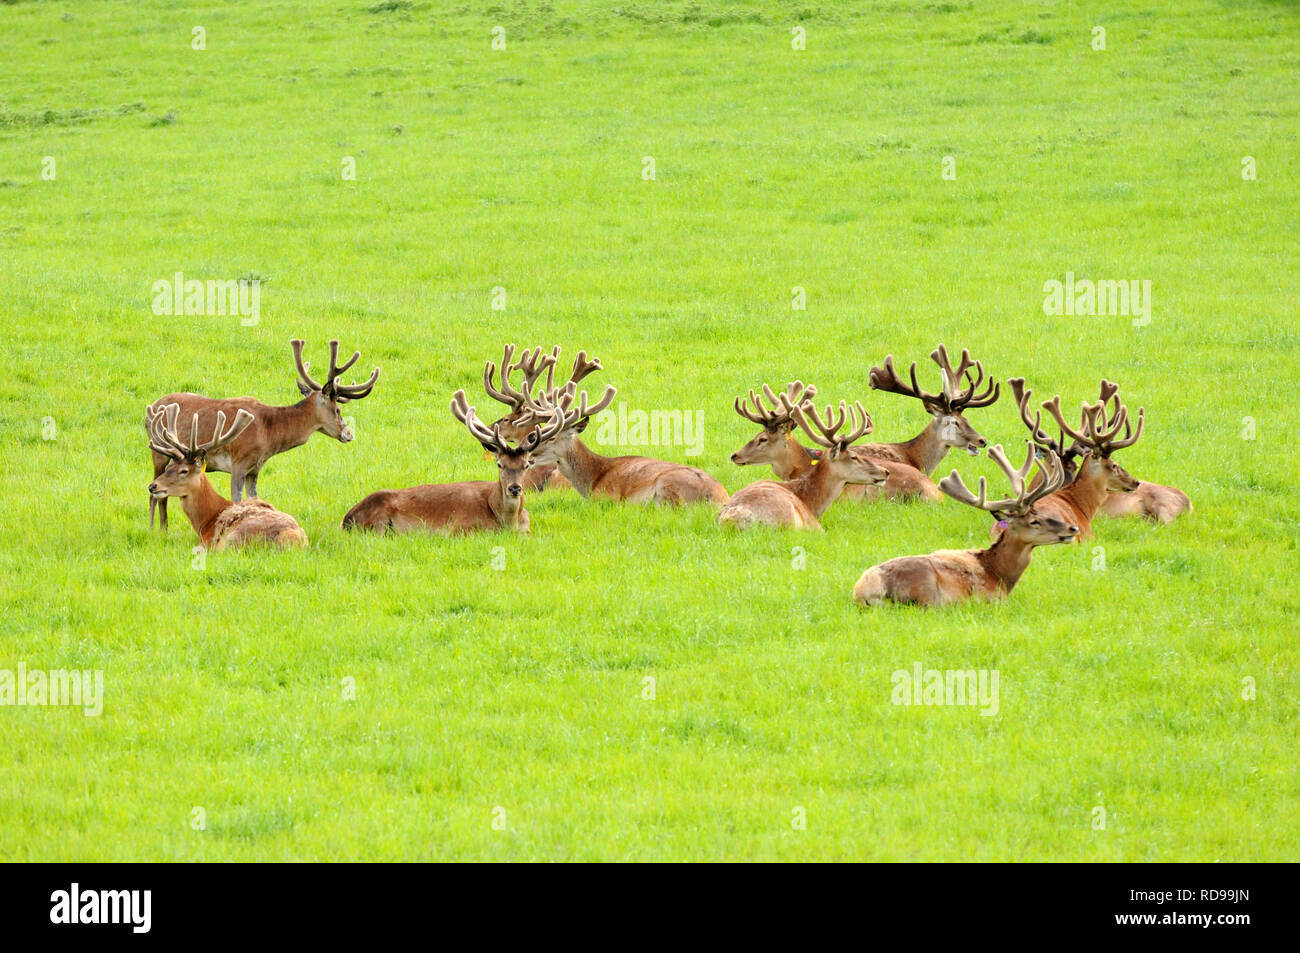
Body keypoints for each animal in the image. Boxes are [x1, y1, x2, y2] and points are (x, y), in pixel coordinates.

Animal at [146, 403, 308, 550]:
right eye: (167, 468)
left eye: (184, 471)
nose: (152, 486)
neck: (206, 519)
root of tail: (290, 536)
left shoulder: (207, 541)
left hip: (232, 539)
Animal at [147, 338, 379, 529]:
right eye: (338, 409)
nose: (348, 434)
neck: (268, 433)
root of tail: (151, 406)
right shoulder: (239, 461)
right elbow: (236, 500)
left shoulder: (255, 468)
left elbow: (254, 498)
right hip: (157, 453)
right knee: (154, 494)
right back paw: (154, 530)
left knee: (161, 494)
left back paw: (164, 529)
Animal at [342, 391, 565, 534]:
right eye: (499, 465)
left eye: (526, 465)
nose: (515, 488)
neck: (508, 522)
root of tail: (346, 520)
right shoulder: (459, 528)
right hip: (377, 523)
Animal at [510, 351, 731, 505]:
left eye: (552, 437)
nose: (529, 457)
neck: (593, 480)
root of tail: (717, 497)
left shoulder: (607, 496)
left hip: (666, 485)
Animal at [852, 443, 1077, 607]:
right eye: (1034, 521)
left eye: (1043, 513)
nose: (1072, 528)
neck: (998, 574)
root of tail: (865, 590)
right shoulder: (990, 599)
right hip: (927, 594)